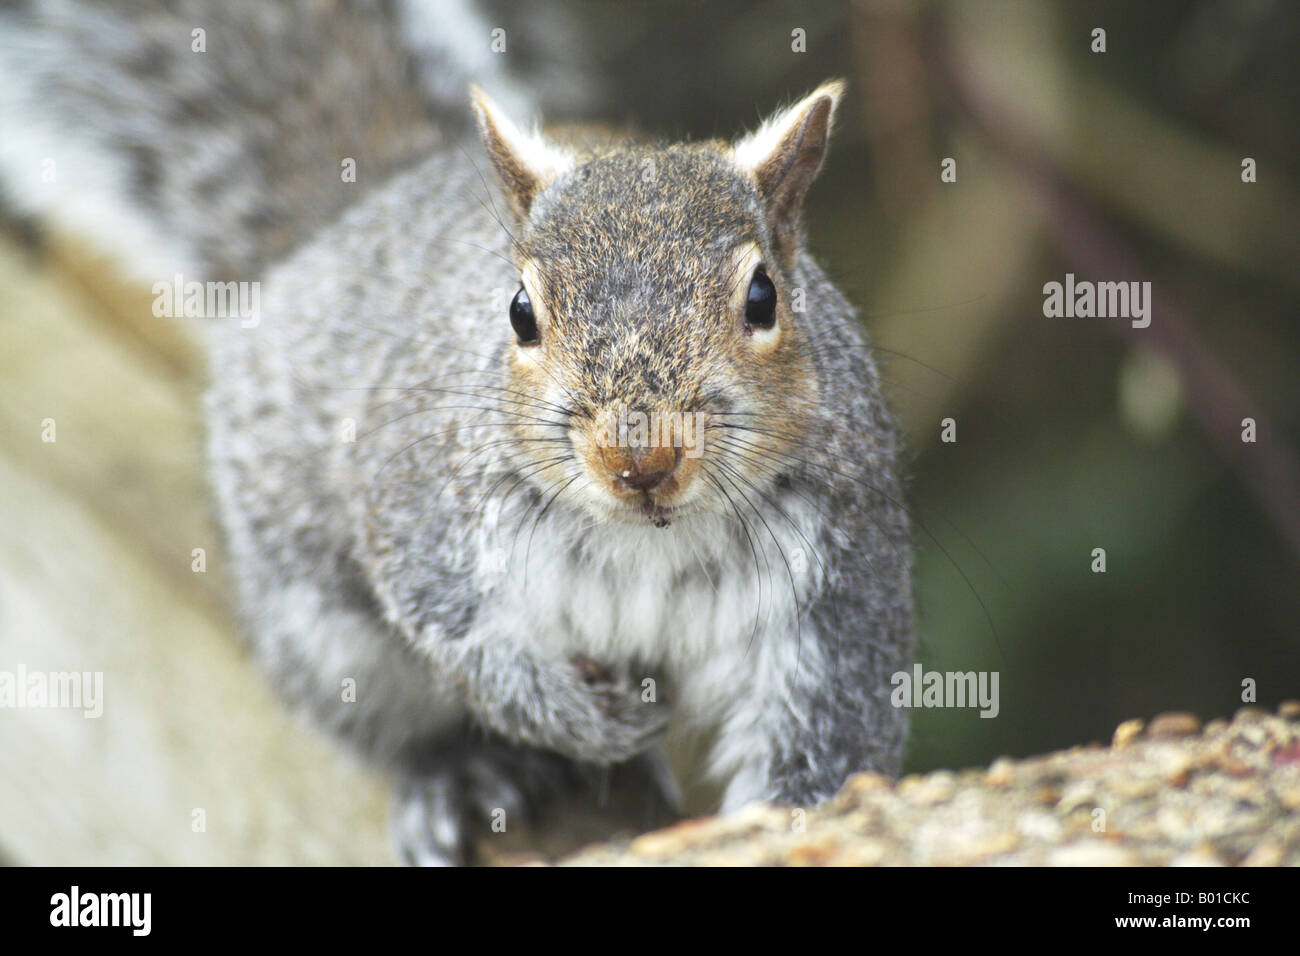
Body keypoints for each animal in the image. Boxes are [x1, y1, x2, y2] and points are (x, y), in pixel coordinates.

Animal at [1, 0, 914, 865]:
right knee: (390, 721)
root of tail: (352, 216)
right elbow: (466, 637)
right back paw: (463, 771)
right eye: (519, 313)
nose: (642, 459)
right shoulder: (422, 506)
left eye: (763, 299)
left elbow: (828, 735)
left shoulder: (838, 585)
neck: (645, 534)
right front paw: (577, 721)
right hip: (322, 630)